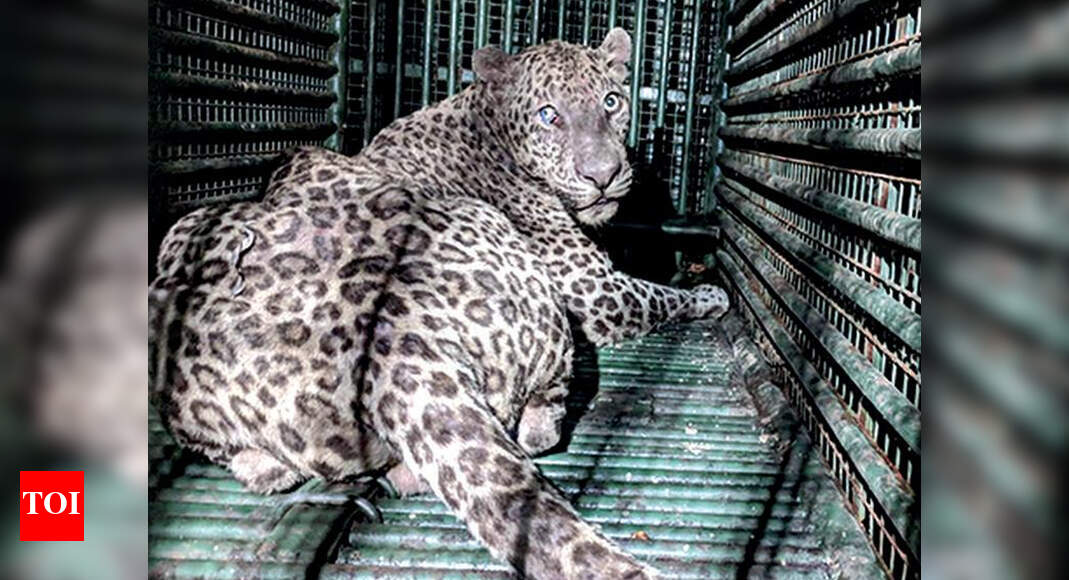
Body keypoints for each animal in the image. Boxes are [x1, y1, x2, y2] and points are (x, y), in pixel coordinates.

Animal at [149, 28, 728, 579]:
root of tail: (395, 341)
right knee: (538, 428)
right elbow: (658, 295)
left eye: (611, 102)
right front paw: (709, 294)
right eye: (550, 115)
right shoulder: (593, 289)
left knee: (266, 467)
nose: (604, 175)